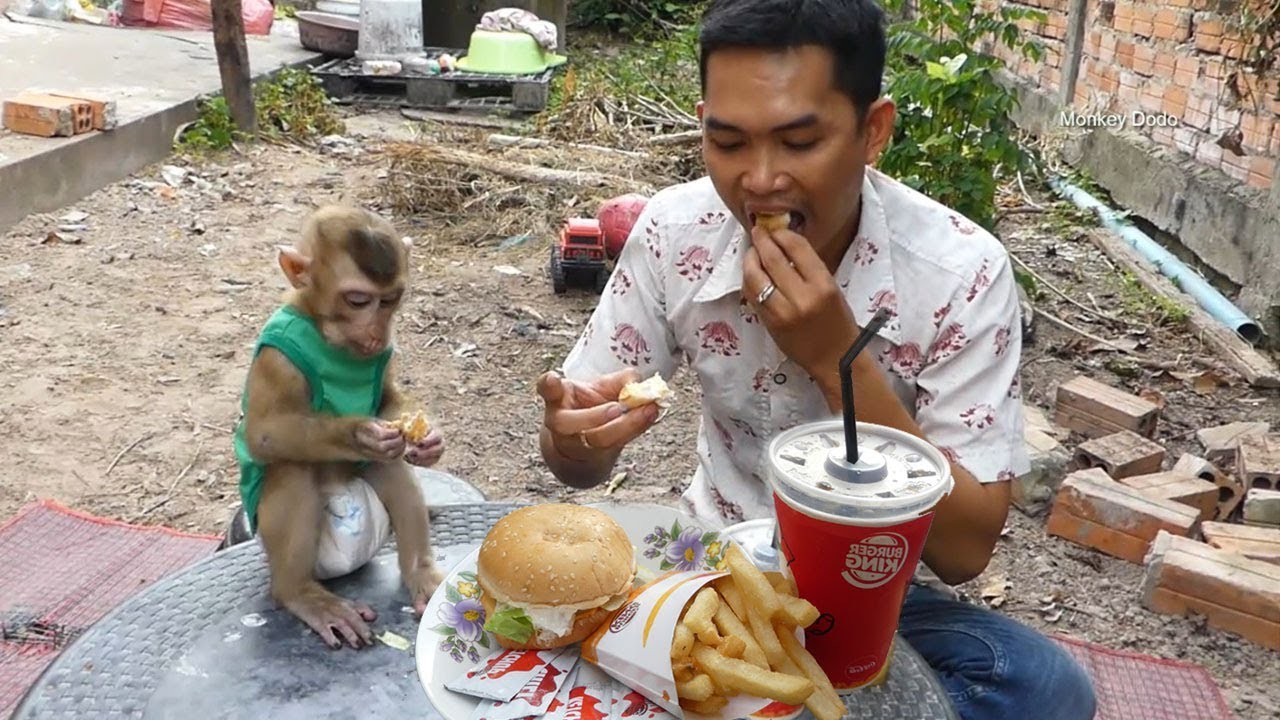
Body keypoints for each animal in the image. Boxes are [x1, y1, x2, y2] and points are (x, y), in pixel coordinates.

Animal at [231, 204, 445, 650]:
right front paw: (362, 433)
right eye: (358, 300)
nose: (377, 330)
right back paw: (302, 594)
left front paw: (429, 439)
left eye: (391, 299)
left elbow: (389, 400)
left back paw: (420, 572)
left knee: (391, 467)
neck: (329, 337)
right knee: (291, 467)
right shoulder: (278, 359)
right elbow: (264, 433)